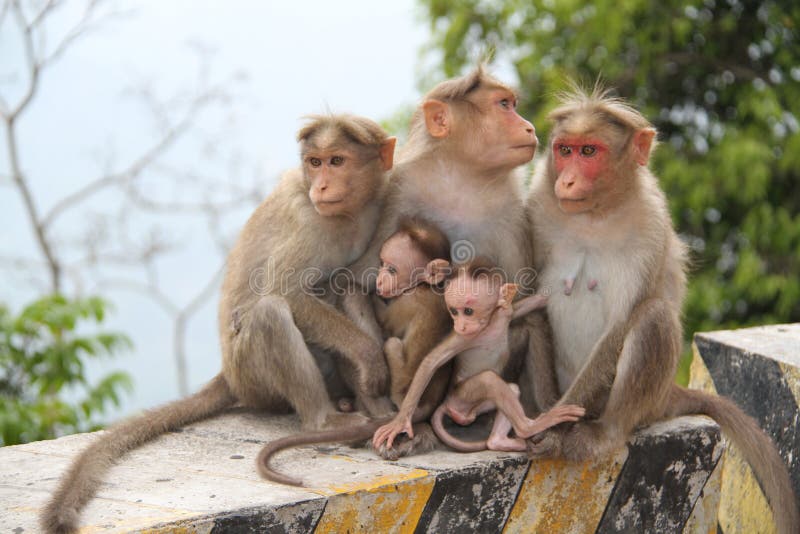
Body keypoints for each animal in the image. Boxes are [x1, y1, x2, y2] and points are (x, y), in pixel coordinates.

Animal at [41, 115, 397, 534]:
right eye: (315, 162)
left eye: (337, 161)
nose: (321, 185)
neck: (350, 214)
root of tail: (228, 373)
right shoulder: (312, 222)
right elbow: (287, 292)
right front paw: (367, 354)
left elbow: (355, 282)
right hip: (252, 378)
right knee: (270, 313)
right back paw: (324, 421)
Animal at [256, 217, 456, 486]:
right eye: (381, 264)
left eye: (391, 269)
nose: (379, 280)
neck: (425, 285)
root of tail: (426, 399)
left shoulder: (408, 300)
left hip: (397, 386)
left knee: (363, 315)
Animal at [372, 257, 585, 453]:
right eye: (453, 311)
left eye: (468, 311)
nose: (460, 325)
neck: (491, 323)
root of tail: (448, 406)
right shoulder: (466, 337)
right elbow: (431, 362)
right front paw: (400, 422)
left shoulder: (506, 313)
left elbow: (523, 306)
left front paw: (558, 290)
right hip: (461, 397)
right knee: (489, 380)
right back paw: (529, 428)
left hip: (476, 407)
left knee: (512, 389)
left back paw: (498, 441)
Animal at [524, 86, 799, 533]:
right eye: (564, 150)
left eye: (589, 151)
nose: (566, 179)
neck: (595, 215)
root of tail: (669, 391)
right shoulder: (536, 205)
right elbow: (528, 302)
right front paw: (546, 411)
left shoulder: (651, 223)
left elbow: (624, 321)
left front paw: (552, 426)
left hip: (644, 400)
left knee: (653, 316)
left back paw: (603, 432)